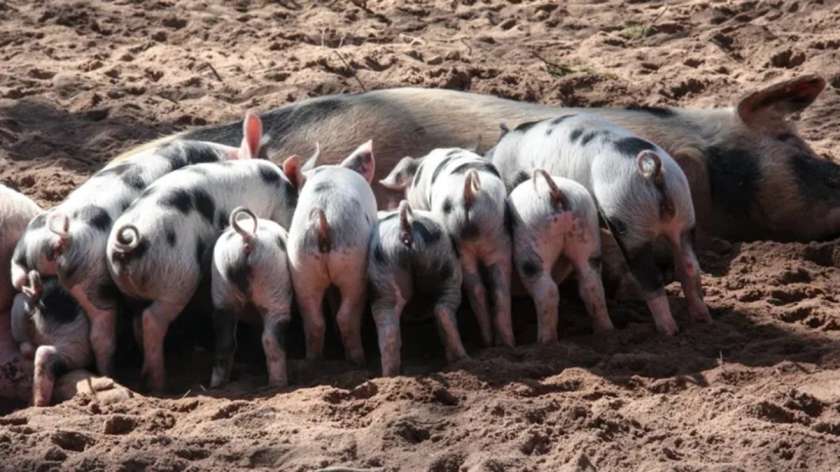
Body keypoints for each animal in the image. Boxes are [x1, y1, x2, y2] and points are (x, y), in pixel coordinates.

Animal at [210, 207, 292, 388]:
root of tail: (248, 237)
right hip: (274, 286)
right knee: (270, 338)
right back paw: (280, 383)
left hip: (222, 290)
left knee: (224, 341)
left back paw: (216, 384)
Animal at [287, 141, 377, 364]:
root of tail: (323, 218)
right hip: (354, 262)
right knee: (346, 315)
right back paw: (358, 359)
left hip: (301, 263)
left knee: (314, 319)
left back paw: (313, 360)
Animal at [367, 200, 466, 376]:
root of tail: (406, 228)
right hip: (448, 269)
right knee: (443, 310)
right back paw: (461, 359)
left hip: (383, 276)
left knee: (389, 330)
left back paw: (390, 375)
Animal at [380, 148, 514, 347]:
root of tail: (469, 193)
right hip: (496, 237)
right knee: (496, 290)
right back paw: (500, 343)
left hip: (464, 240)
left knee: (478, 289)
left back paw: (490, 342)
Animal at [507, 170, 613, 342]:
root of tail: (555, 192)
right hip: (587, 232)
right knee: (592, 284)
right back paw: (605, 331)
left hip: (532, 237)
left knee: (547, 290)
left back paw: (544, 341)